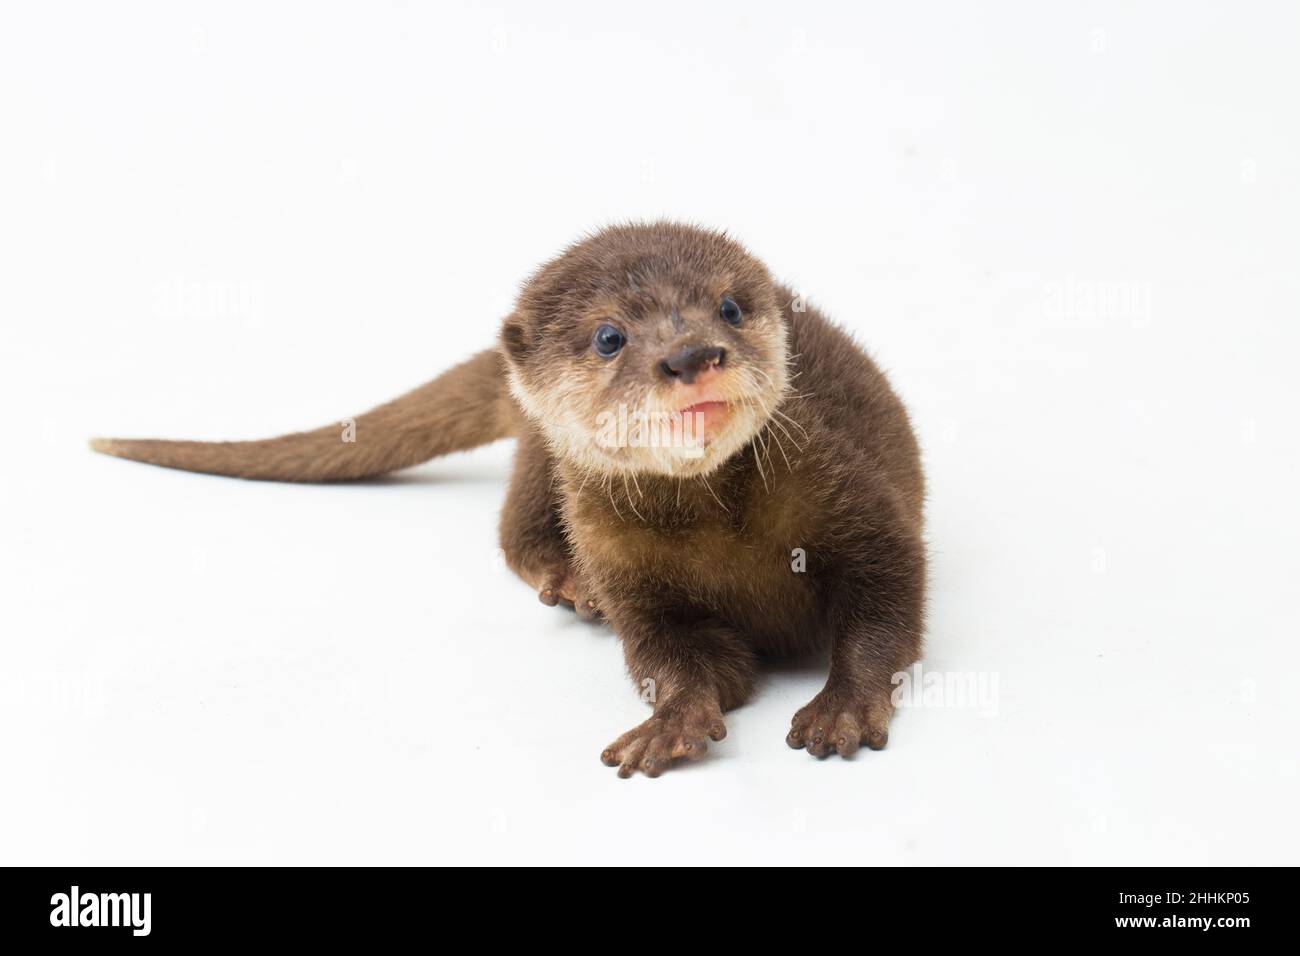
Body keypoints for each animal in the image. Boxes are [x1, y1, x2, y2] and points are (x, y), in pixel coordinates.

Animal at [91, 222, 926, 778]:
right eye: (609, 337)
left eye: (728, 307)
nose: (692, 355)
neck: (724, 536)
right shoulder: (628, 573)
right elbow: (676, 658)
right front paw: (672, 719)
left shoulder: (846, 486)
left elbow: (887, 595)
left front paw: (842, 707)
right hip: (539, 455)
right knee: (513, 532)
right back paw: (568, 584)